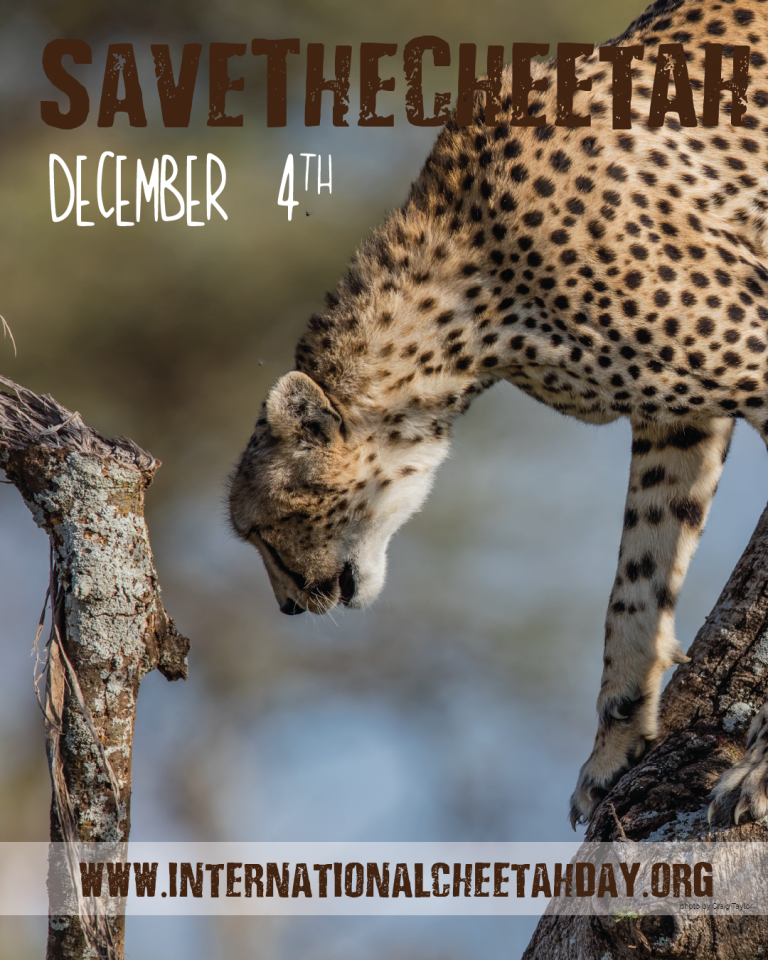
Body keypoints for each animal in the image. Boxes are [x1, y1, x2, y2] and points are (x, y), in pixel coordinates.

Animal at [229, 0, 768, 829]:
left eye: (262, 529)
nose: (290, 607)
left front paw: (757, 775)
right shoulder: (678, 417)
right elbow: (638, 576)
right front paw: (613, 749)